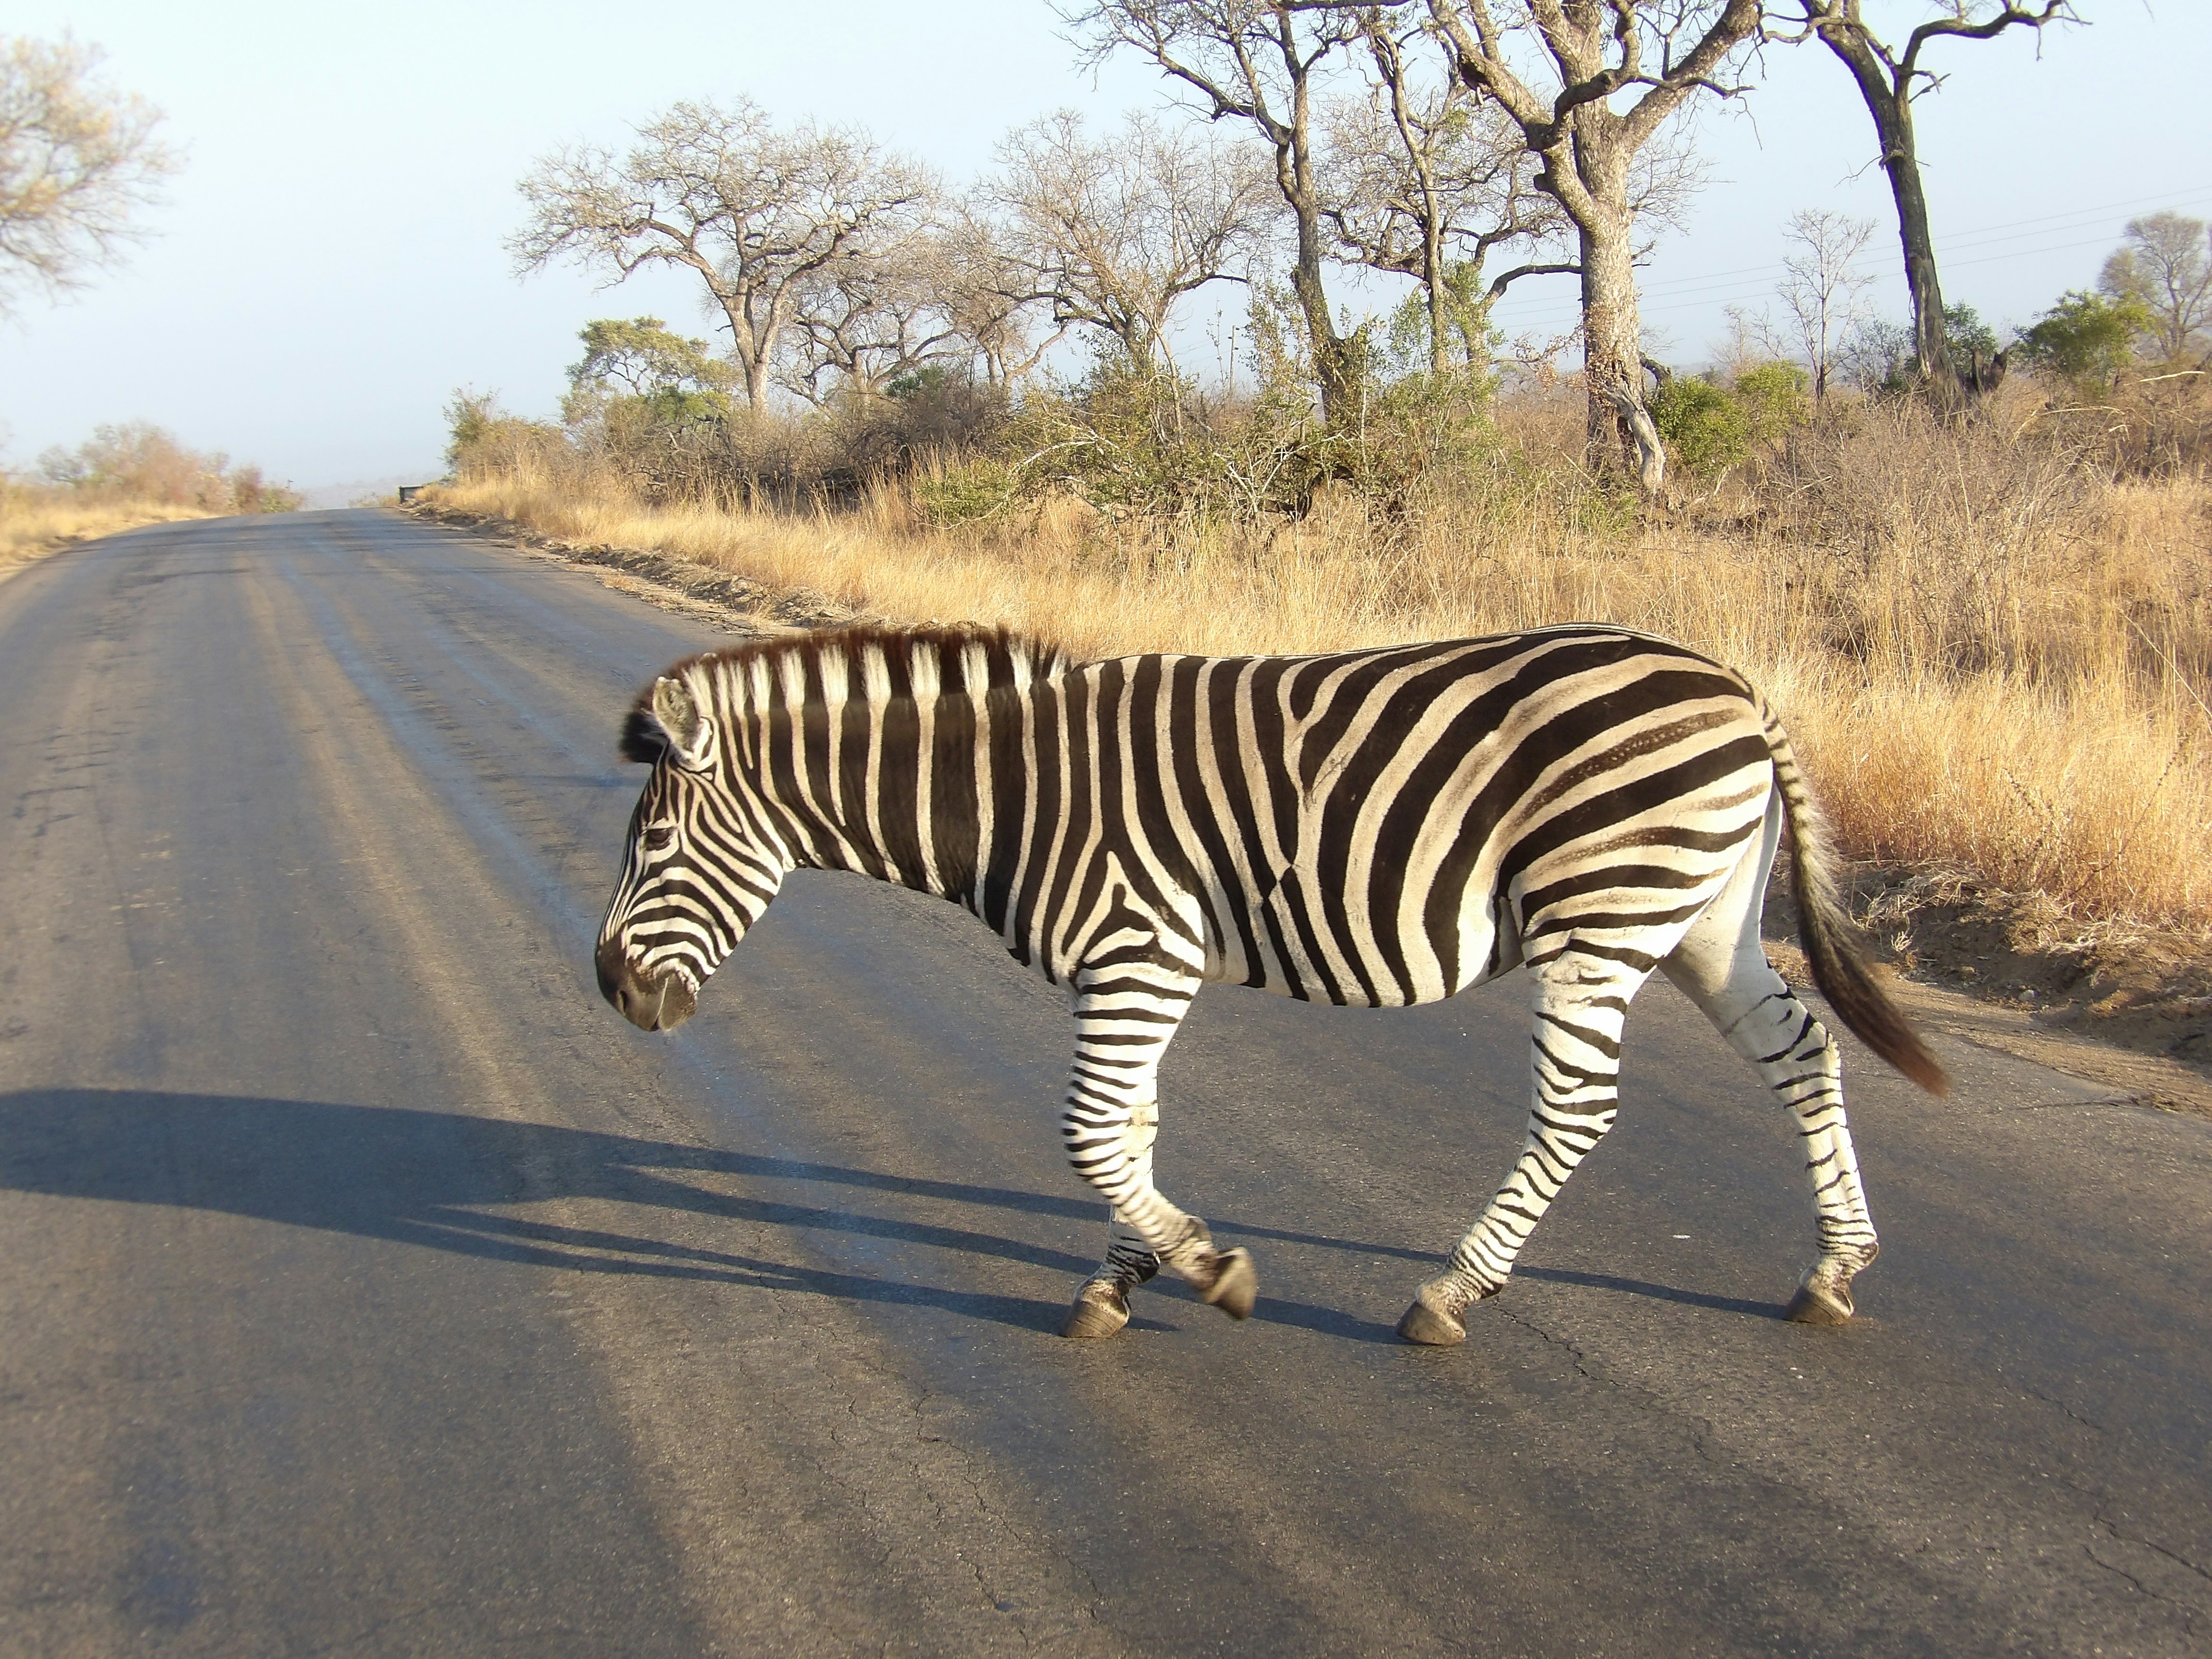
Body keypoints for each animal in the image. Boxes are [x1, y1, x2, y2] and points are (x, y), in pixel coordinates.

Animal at [595, 623, 1945, 1345]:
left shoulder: (1136, 952)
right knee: (1802, 1051)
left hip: (1603, 913)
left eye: (651, 845)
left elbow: (1091, 1133)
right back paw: (1835, 1270)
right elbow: (1129, 1127)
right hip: (1703, 917)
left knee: (1576, 1111)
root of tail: (1734, 682)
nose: (609, 989)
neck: (1011, 792)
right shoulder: (1139, 971)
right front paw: (1121, 1276)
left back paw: (1449, 1293)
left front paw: (1210, 1269)